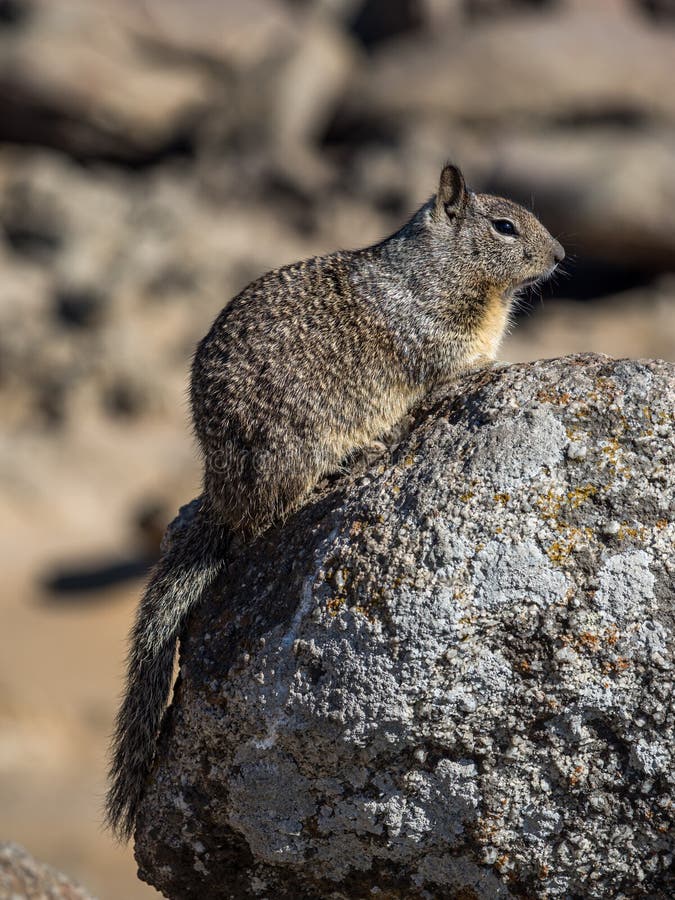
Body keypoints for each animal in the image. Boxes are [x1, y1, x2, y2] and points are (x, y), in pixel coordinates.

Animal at [106, 163, 564, 841]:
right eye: (504, 226)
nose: (560, 255)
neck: (438, 266)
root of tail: (221, 494)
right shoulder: (433, 332)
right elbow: (457, 364)